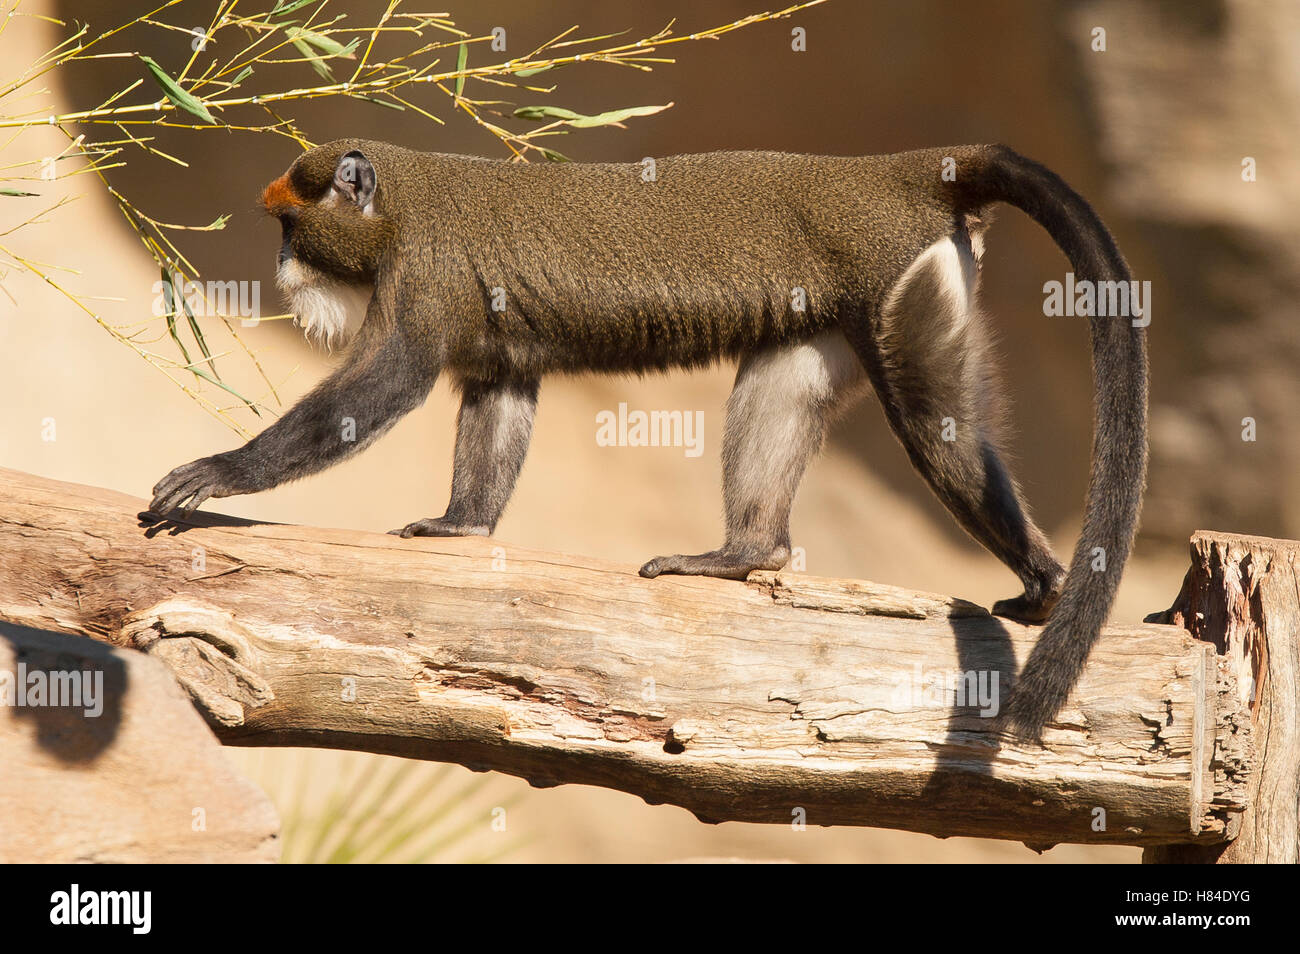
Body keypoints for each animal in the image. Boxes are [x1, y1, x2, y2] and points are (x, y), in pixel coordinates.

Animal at [148, 139, 1147, 738]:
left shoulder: (421, 275)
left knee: (941, 434)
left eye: (290, 224)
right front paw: (461, 525)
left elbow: (382, 386)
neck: (404, 197)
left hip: (900, 288)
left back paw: (1041, 576)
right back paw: (748, 552)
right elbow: (498, 392)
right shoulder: (490, 332)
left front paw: (220, 471)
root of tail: (895, 171)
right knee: (783, 385)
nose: (279, 264)